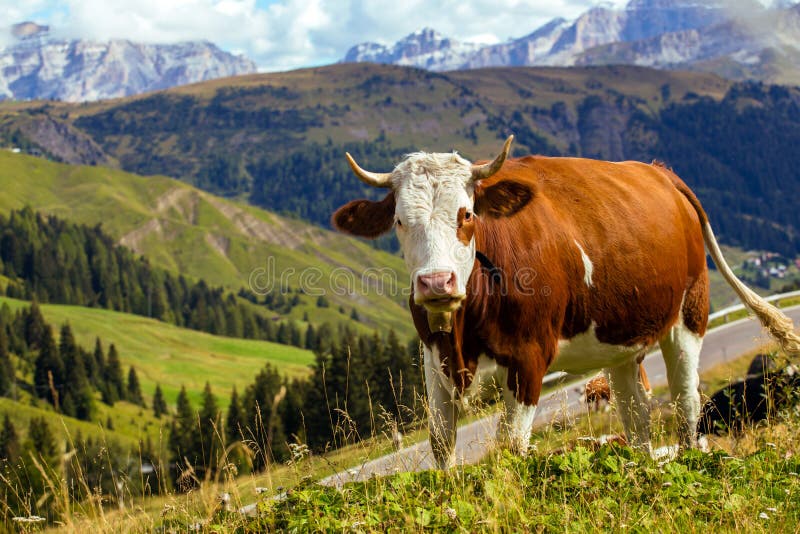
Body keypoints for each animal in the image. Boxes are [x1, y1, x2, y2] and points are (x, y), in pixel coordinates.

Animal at [332, 136, 800, 468]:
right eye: (398, 221)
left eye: (467, 214)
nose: (435, 282)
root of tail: (659, 172)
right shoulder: (434, 357)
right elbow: (441, 442)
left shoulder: (529, 357)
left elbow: (509, 445)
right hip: (622, 343)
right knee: (637, 416)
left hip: (688, 315)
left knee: (686, 404)